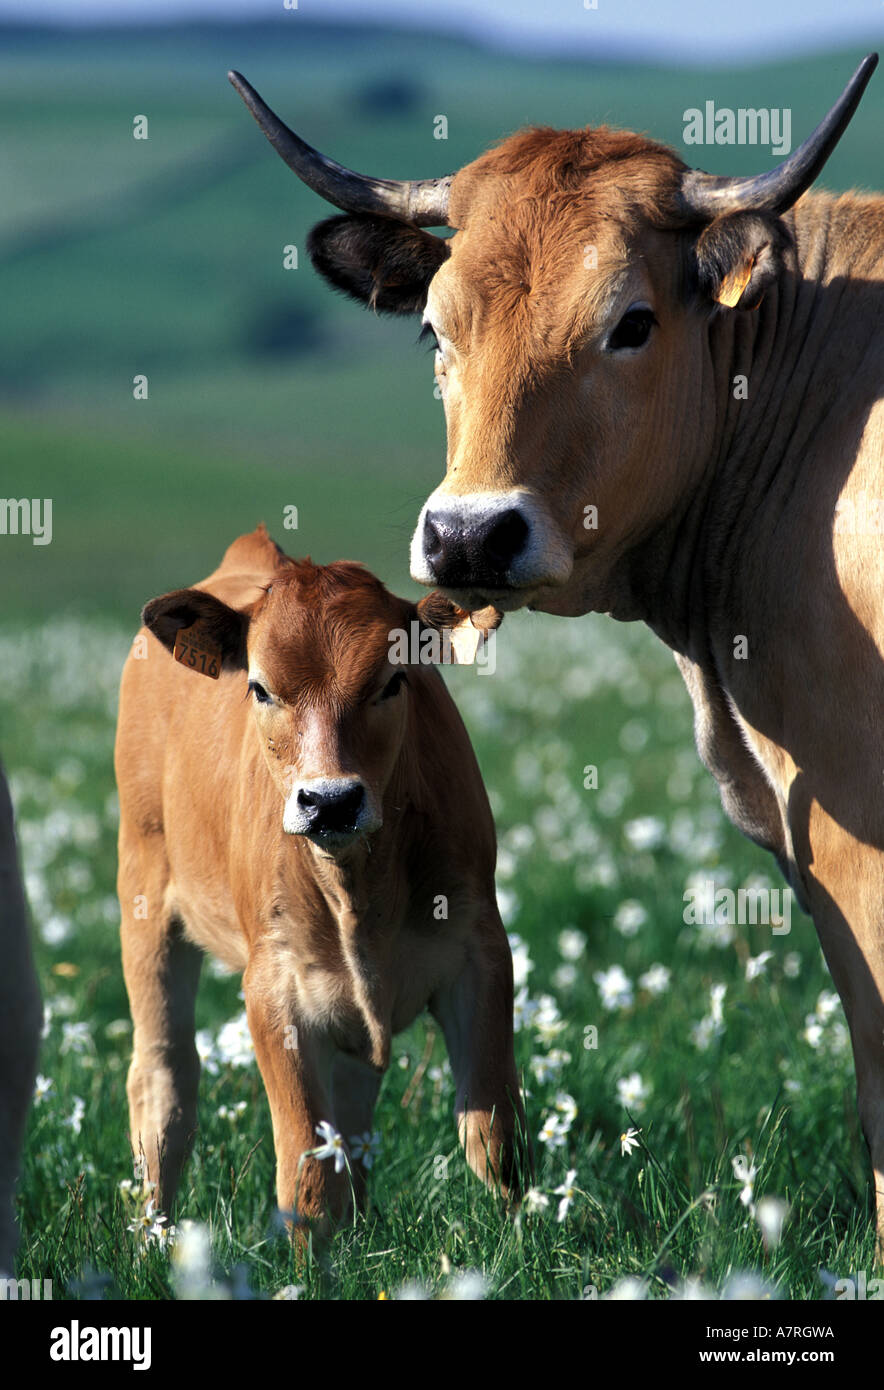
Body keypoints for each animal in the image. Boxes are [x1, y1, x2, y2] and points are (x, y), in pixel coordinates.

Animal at [114, 525, 527, 1230]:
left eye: (393, 680)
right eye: (259, 689)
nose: (330, 801)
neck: (360, 887)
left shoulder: (481, 954)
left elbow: (494, 1140)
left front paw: (517, 1241)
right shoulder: (274, 989)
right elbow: (305, 1177)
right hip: (144, 903)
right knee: (163, 1086)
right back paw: (153, 1236)